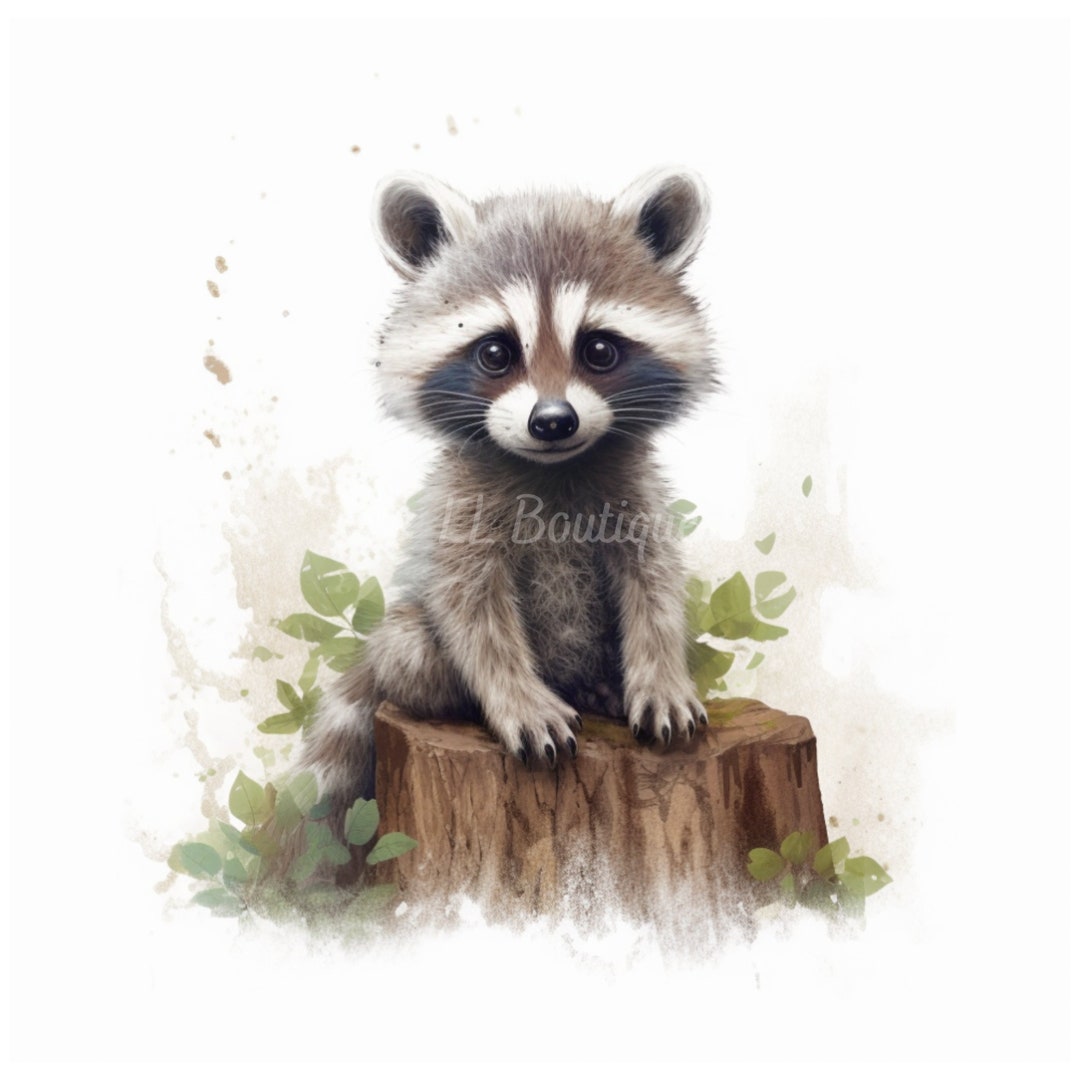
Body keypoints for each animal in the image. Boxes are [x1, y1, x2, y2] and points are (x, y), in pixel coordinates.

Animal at [299, 168, 718, 819]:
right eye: (495, 352)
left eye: (599, 350)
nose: (553, 421)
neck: (551, 468)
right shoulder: (461, 506)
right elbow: (472, 609)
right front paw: (513, 698)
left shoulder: (634, 496)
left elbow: (654, 585)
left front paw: (661, 675)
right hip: (404, 637)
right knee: (412, 651)